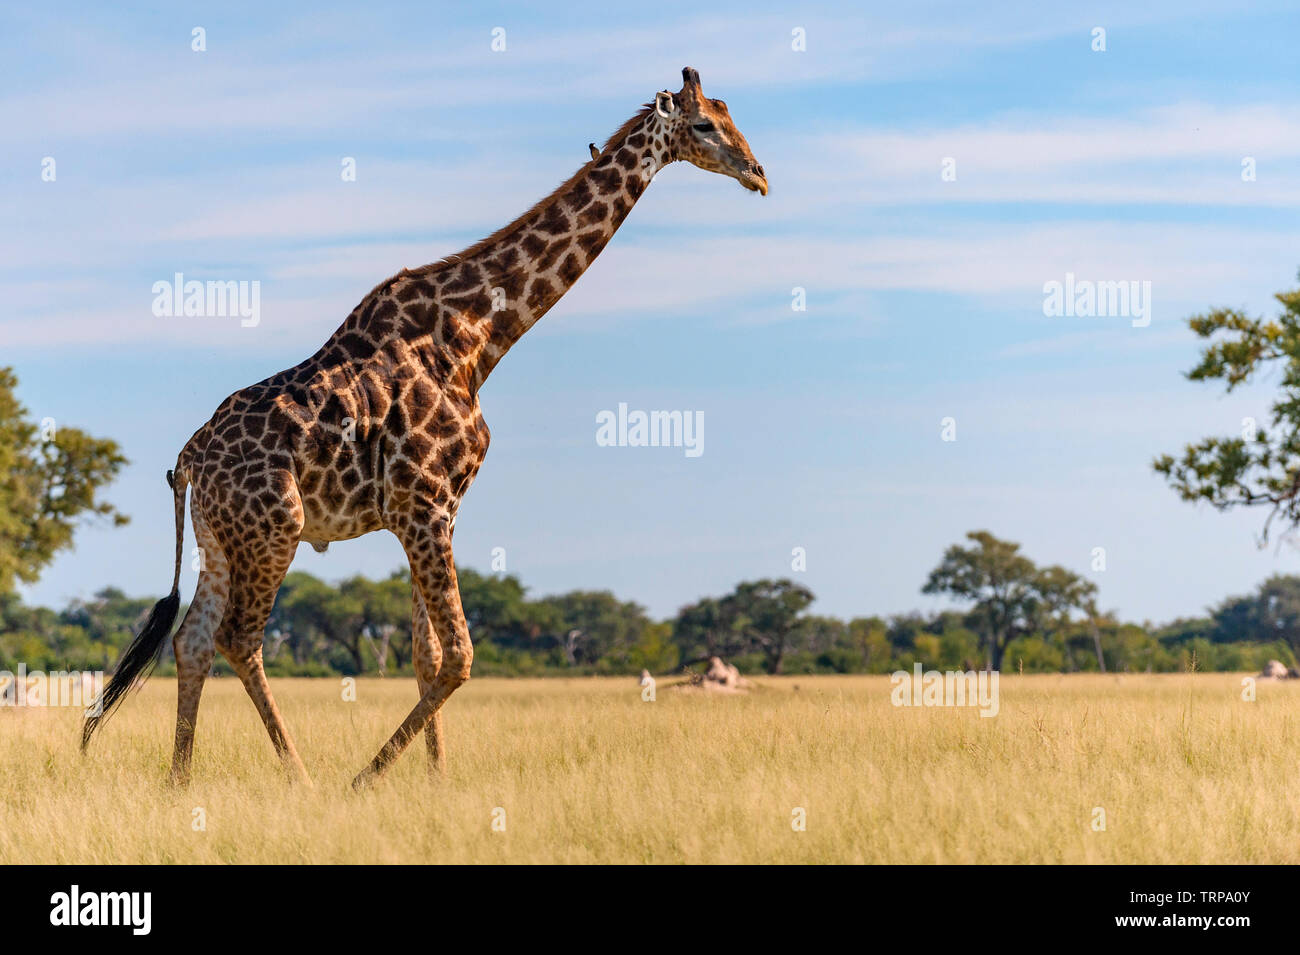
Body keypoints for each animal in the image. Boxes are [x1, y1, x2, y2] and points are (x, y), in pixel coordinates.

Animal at [82, 67, 767, 789]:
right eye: (705, 125)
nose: (758, 173)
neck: (477, 337)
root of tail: (189, 457)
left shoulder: (433, 510)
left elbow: (426, 654)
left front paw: (434, 780)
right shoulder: (426, 504)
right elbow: (460, 655)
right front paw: (368, 778)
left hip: (220, 537)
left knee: (192, 639)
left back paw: (179, 779)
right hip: (276, 528)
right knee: (239, 637)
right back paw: (302, 776)